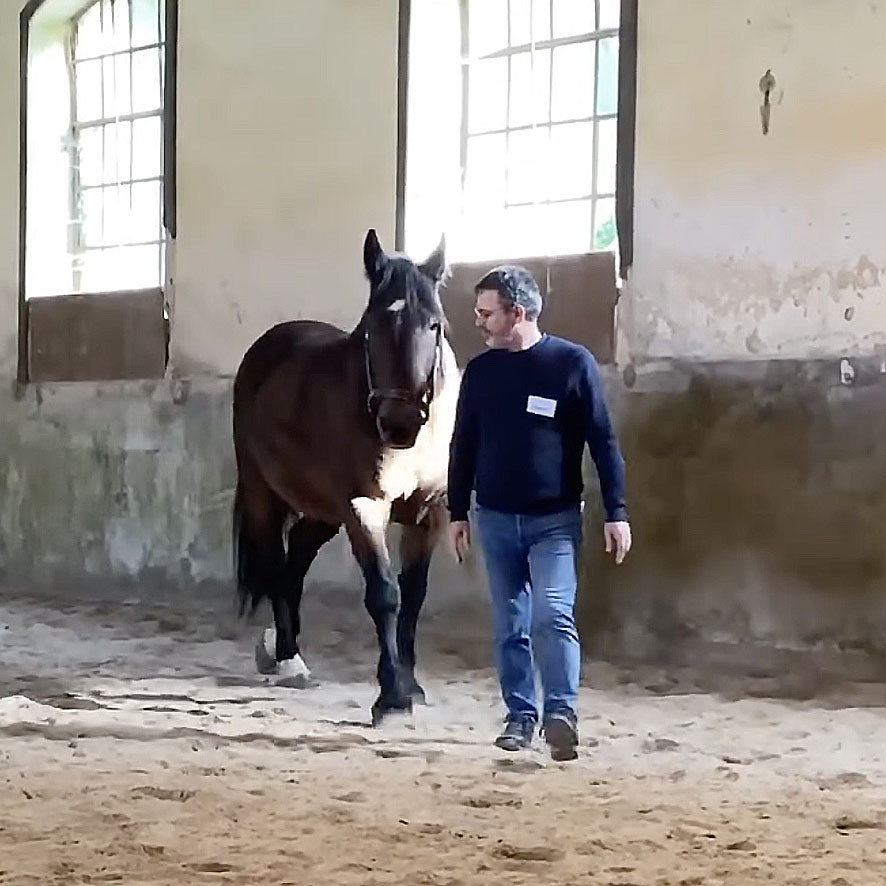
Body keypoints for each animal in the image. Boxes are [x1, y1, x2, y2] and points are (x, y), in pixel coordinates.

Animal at [231, 228, 460, 725]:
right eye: (372, 327)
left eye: (433, 325)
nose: (400, 423)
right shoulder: (362, 508)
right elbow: (385, 595)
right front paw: (391, 697)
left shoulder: (428, 514)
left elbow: (413, 595)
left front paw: (410, 684)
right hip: (264, 494)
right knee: (276, 562)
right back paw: (289, 659)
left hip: (323, 511)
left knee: (295, 561)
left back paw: (285, 652)